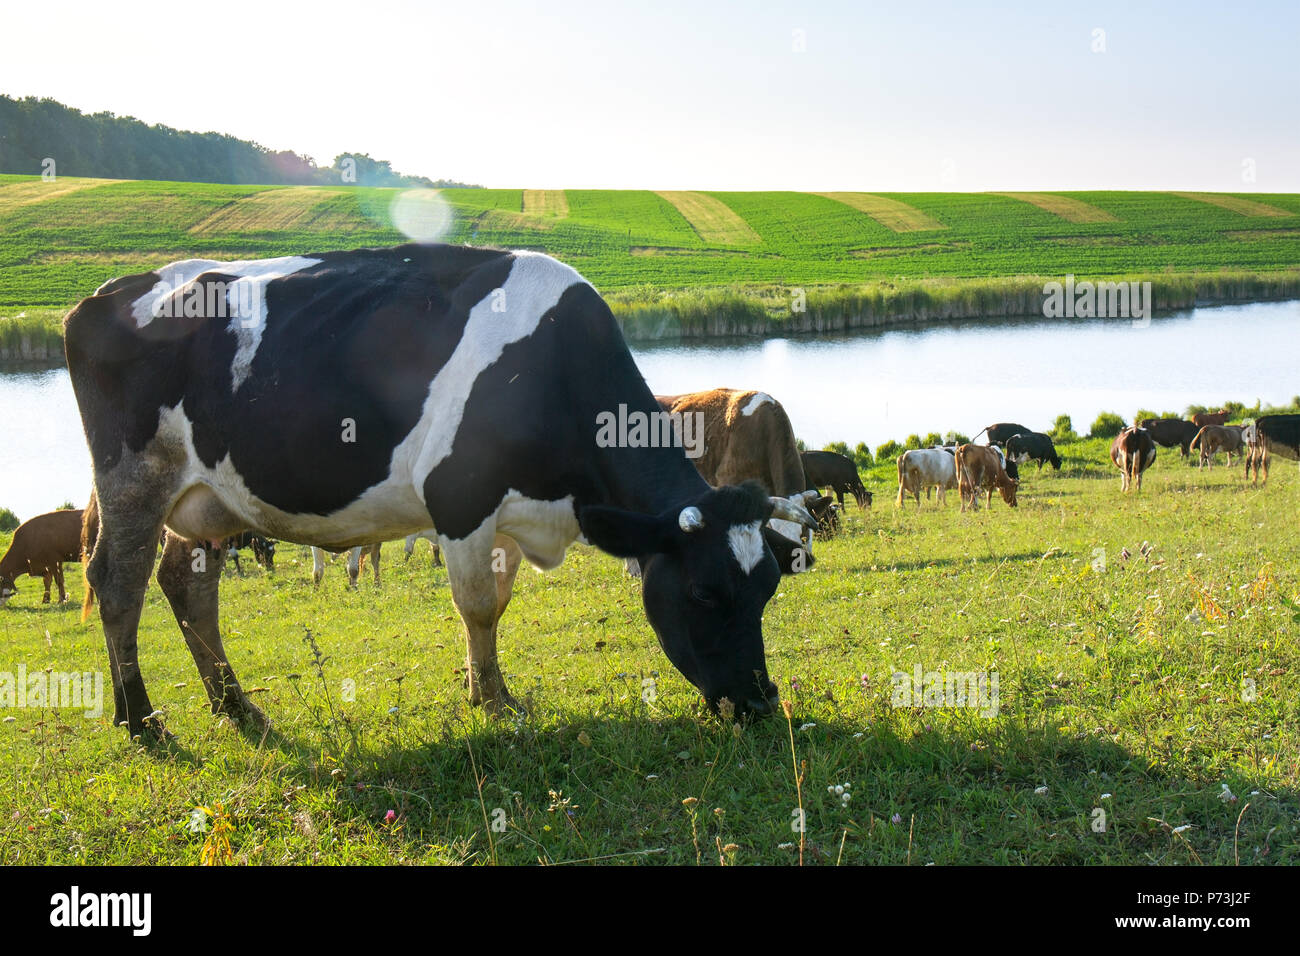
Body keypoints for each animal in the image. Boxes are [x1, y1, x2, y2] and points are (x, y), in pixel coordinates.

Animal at [65, 244, 819, 740]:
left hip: (207, 499)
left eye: (768, 589)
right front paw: (492, 703)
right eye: (704, 594)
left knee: (186, 584)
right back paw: (143, 722)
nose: (759, 702)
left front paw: (487, 689)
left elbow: (498, 602)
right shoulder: (460, 497)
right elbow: (478, 605)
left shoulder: (508, 513)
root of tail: (105, 292)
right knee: (119, 584)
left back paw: (237, 706)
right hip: (133, 477)